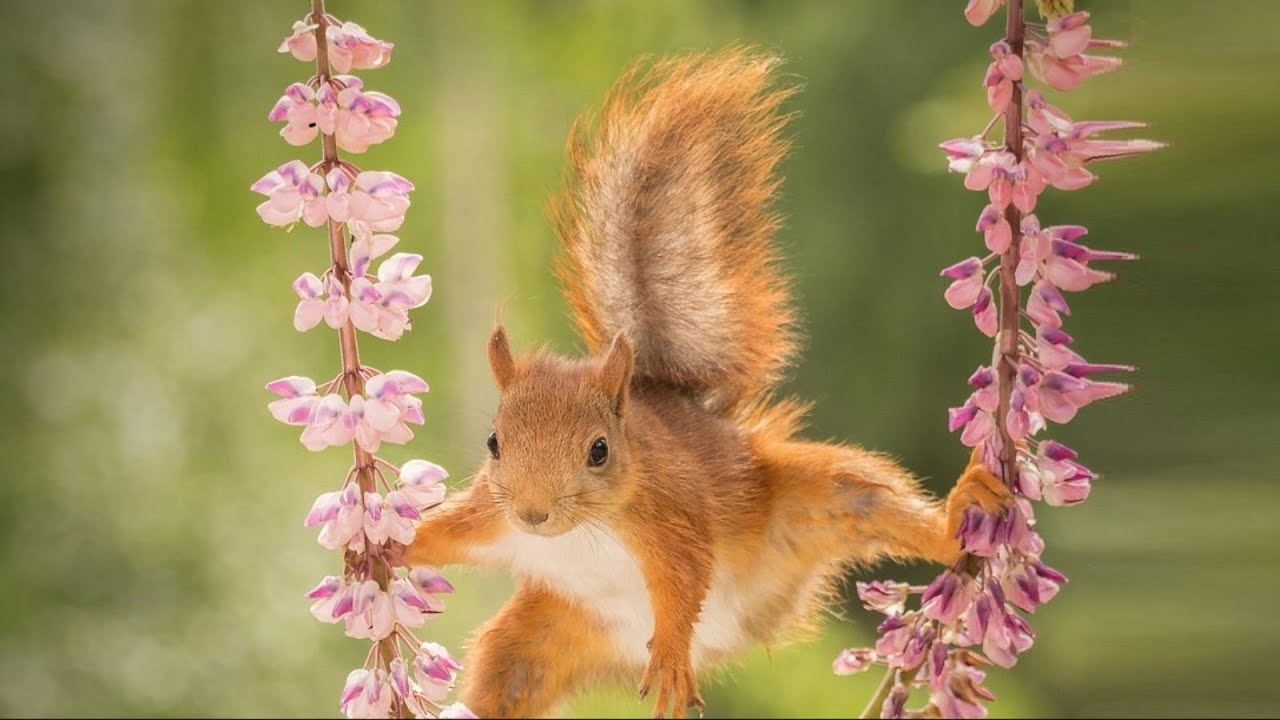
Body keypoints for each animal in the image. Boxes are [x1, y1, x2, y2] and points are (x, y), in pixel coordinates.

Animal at [406, 48, 1011, 719]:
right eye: (494, 443)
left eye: (599, 451)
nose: (534, 514)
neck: (582, 533)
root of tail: (728, 639)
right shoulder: (489, 516)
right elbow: (438, 533)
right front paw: (377, 549)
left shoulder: (668, 514)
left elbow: (686, 574)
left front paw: (671, 654)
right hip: (542, 632)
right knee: (507, 669)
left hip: (818, 502)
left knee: (879, 504)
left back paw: (959, 515)